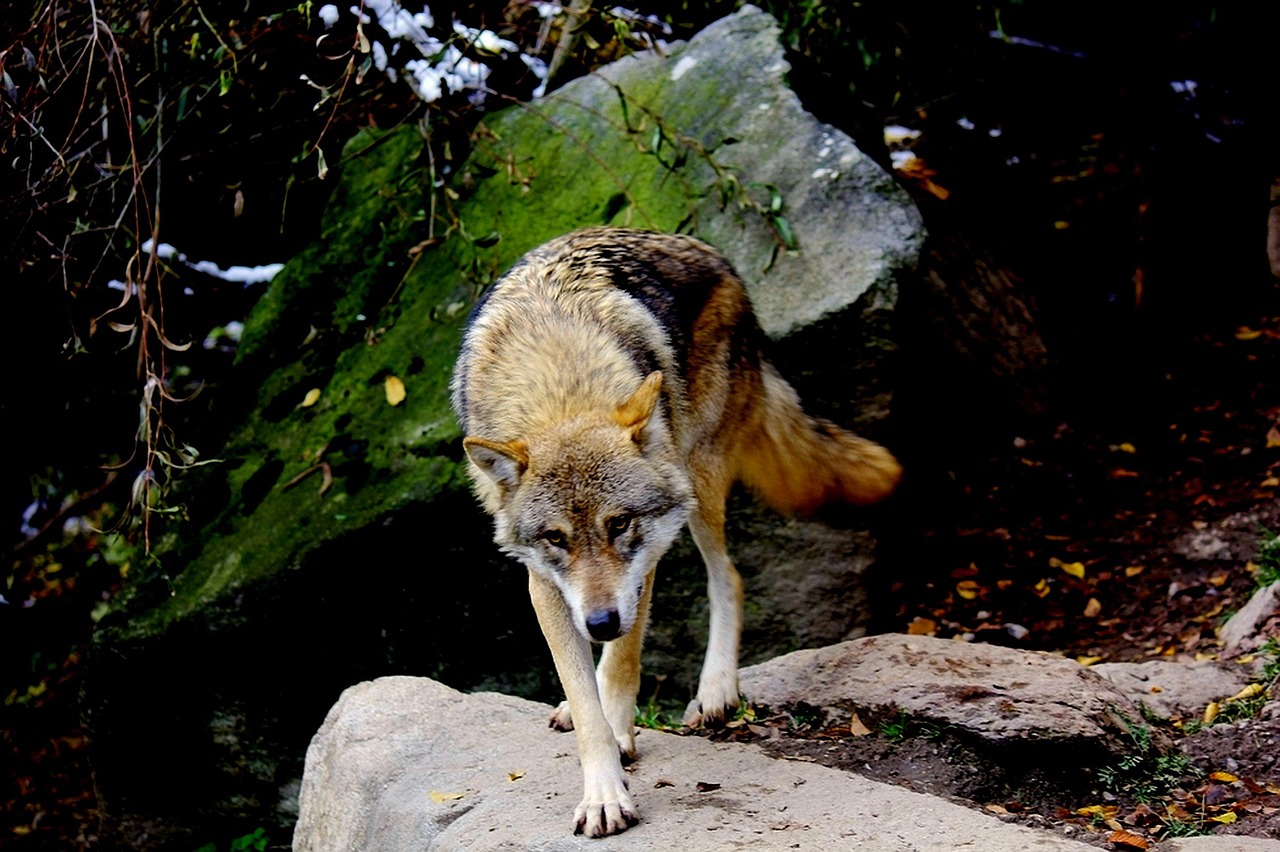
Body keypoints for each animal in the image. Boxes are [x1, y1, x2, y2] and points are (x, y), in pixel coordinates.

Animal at [450, 227, 900, 837]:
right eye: (556, 539)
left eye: (618, 523)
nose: (599, 622)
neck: (559, 382)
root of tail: (710, 251)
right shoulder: (544, 583)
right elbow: (586, 698)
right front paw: (603, 788)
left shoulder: (646, 554)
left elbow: (624, 661)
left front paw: (621, 732)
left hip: (698, 483)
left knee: (729, 576)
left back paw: (716, 690)